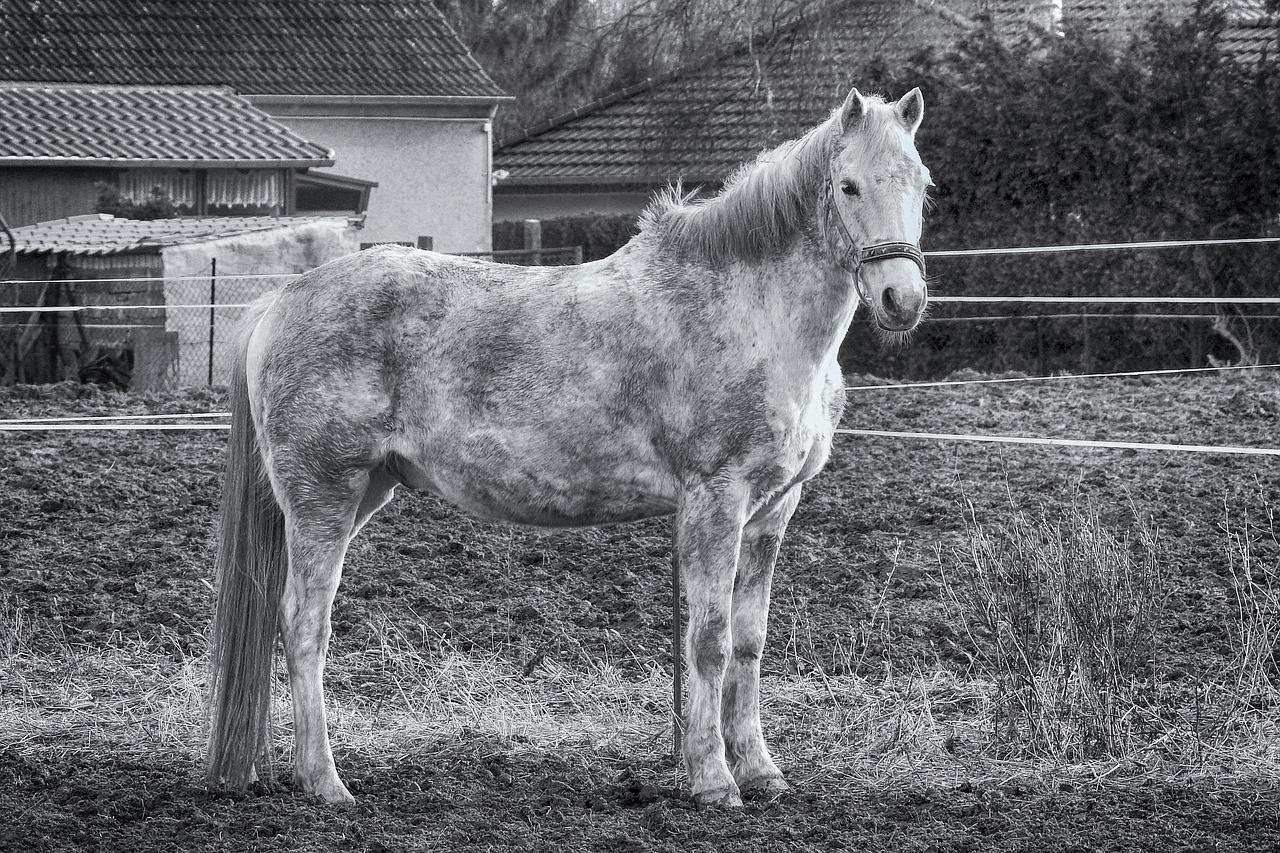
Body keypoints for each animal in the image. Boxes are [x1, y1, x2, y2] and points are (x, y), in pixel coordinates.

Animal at [206, 85, 932, 807]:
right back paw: (325, 782)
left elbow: (749, 645)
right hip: (323, 495)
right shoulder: (715, 501)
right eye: (848, 185)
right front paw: (712, 780)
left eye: (922, 184)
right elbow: (709, 641)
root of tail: (282, 298)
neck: (747, 313)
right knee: (305, 624)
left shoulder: (772, 510)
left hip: (364, 490)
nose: (902, 299)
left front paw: (761, 770)